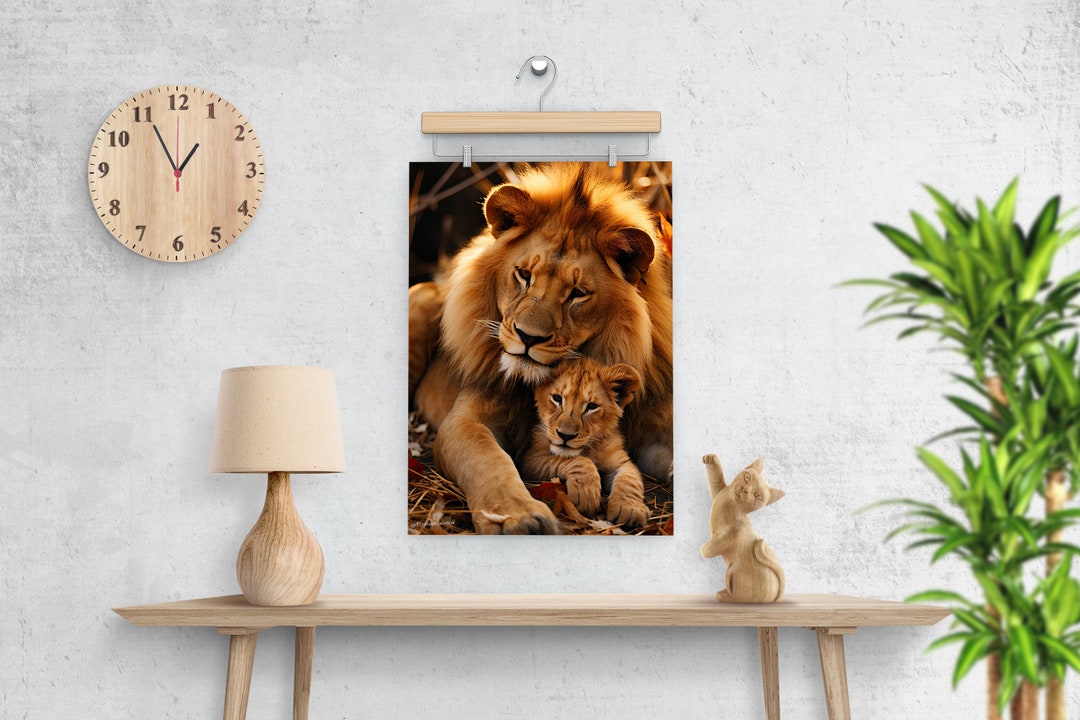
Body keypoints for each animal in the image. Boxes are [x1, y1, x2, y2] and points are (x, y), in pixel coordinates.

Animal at [521, 357, 650, 529]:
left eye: (591, 406)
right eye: (557, 398)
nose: (565, 435)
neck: (588, 447)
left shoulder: (621, 460)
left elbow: (629, 479)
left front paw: (630, 508)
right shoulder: (530, 461)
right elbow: (577, 460)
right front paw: (586, 495)